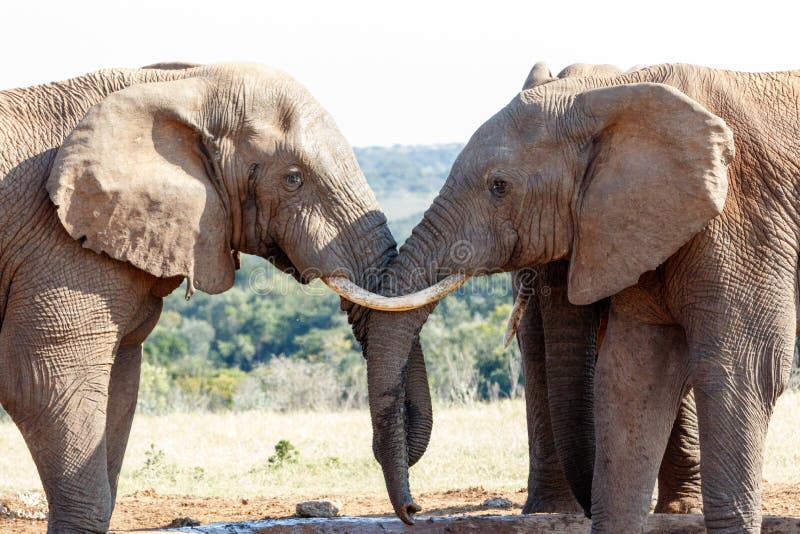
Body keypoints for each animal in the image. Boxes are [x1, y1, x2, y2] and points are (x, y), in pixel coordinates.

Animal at [0, 63, 403, 532]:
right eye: (293, 179)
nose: (409, 511)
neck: (183, 83)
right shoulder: (55, 245)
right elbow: (38, 382)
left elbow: (121, 385)